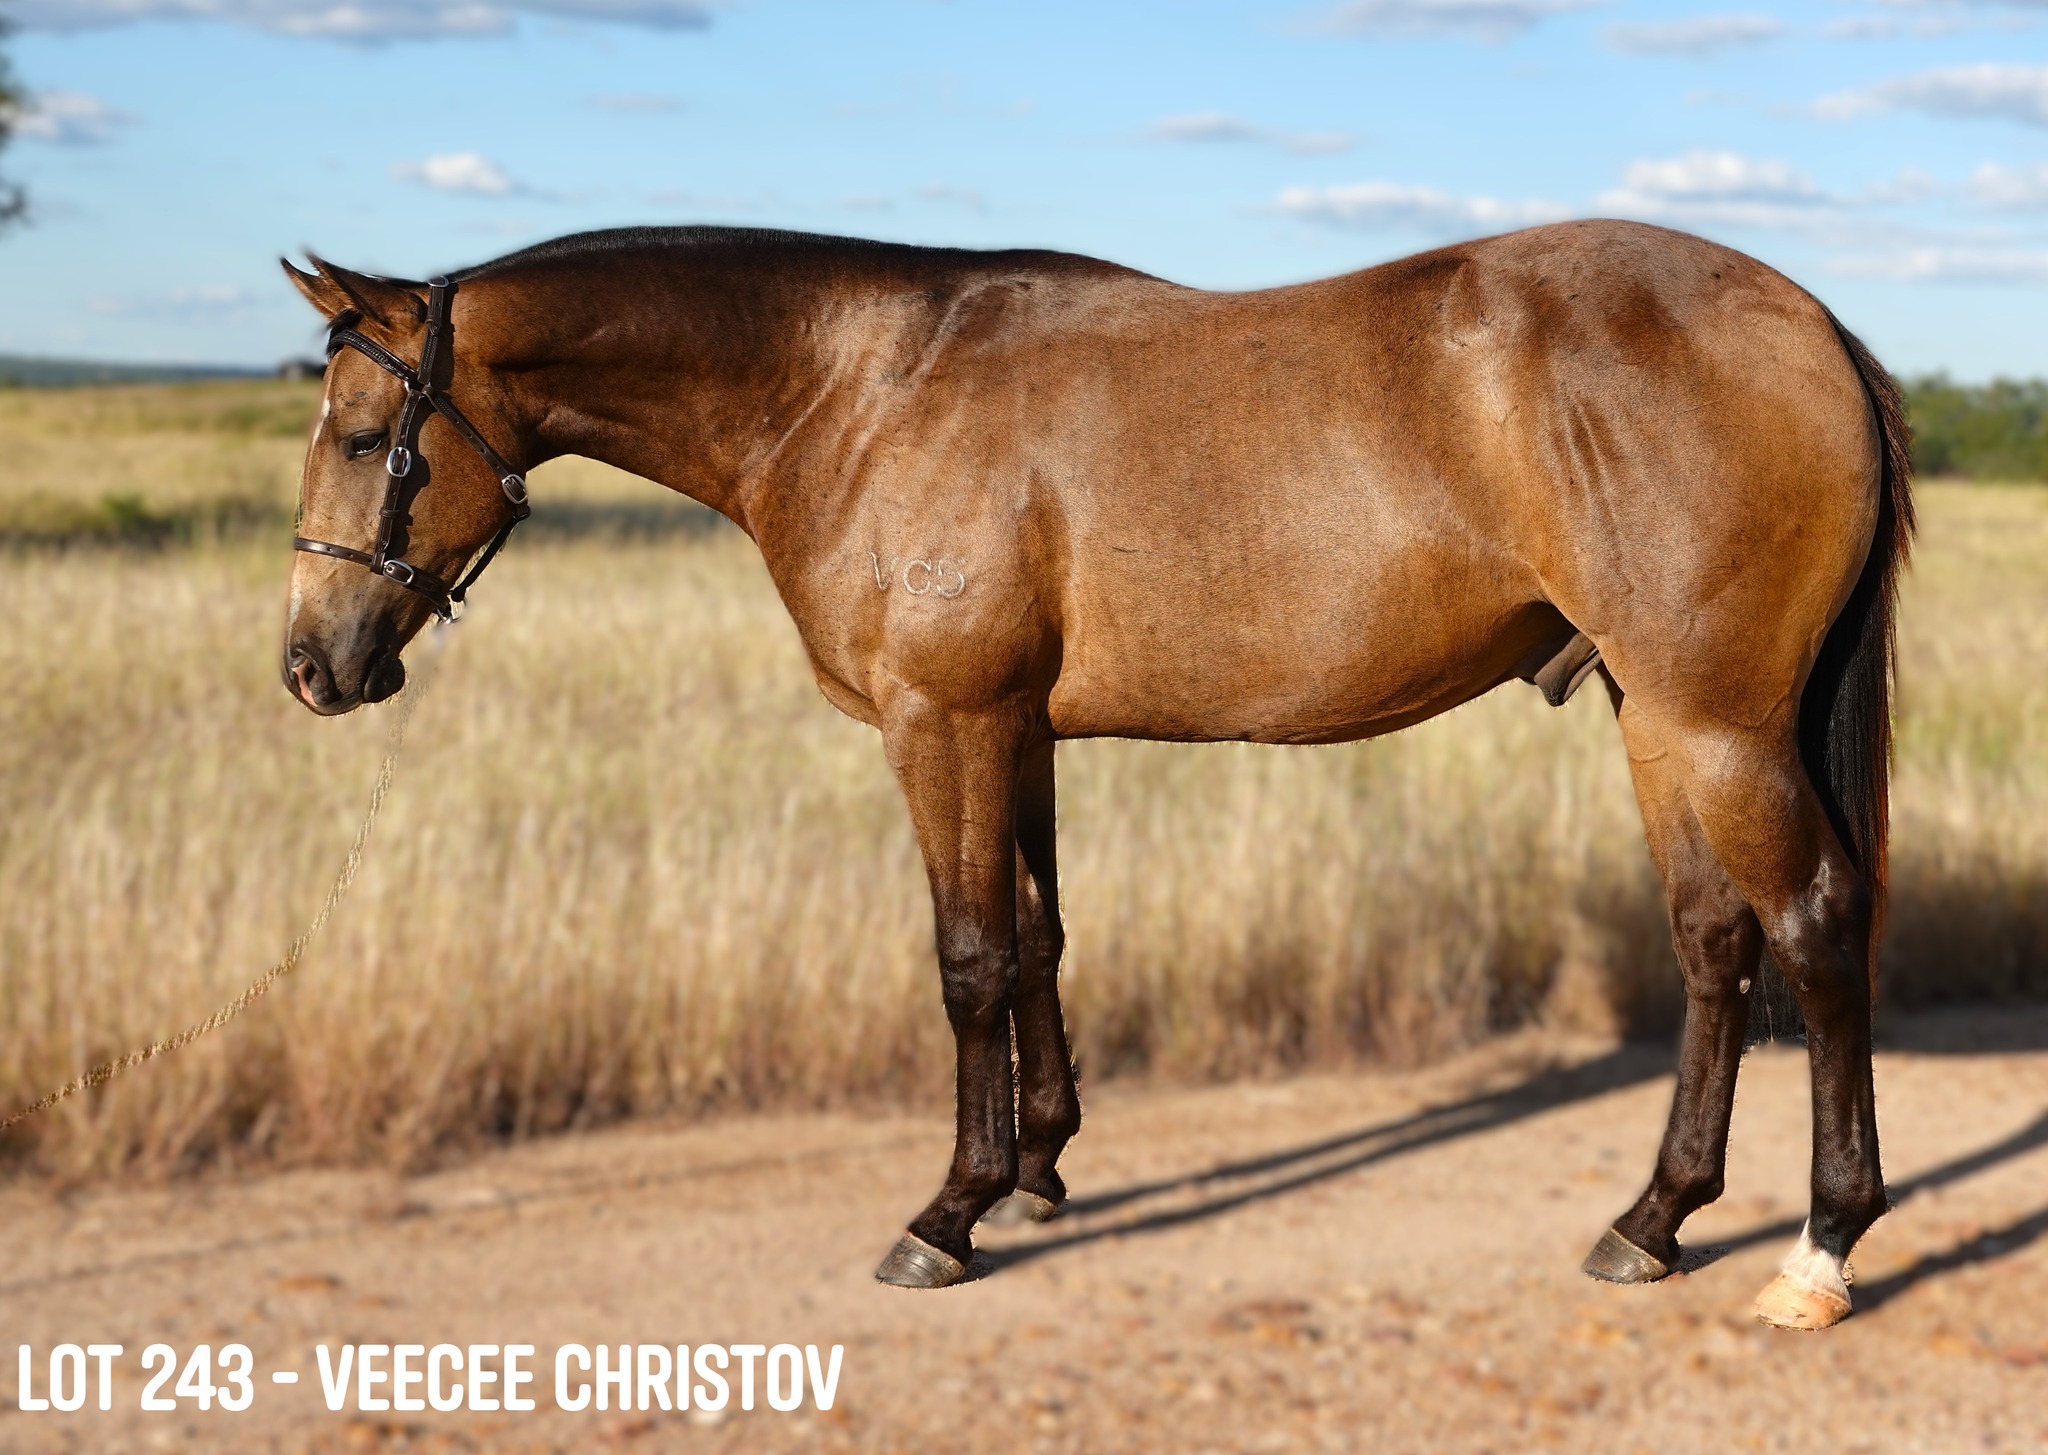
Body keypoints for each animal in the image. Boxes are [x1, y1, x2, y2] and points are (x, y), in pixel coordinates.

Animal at [280, 218, 1912, 1330]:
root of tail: (1809, 318)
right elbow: (1038, 936)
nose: (312, 665)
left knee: (1818, 925)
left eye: (364, 438)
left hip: (1719, 722)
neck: (860, 386)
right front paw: (1041, 1167)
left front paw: (949, 1210)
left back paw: (1820, 1246)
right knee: (1713, 940)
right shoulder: (1014, 729)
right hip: (1657, 719)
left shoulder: (942, 723)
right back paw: (1655, 1216)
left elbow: (967, 957)